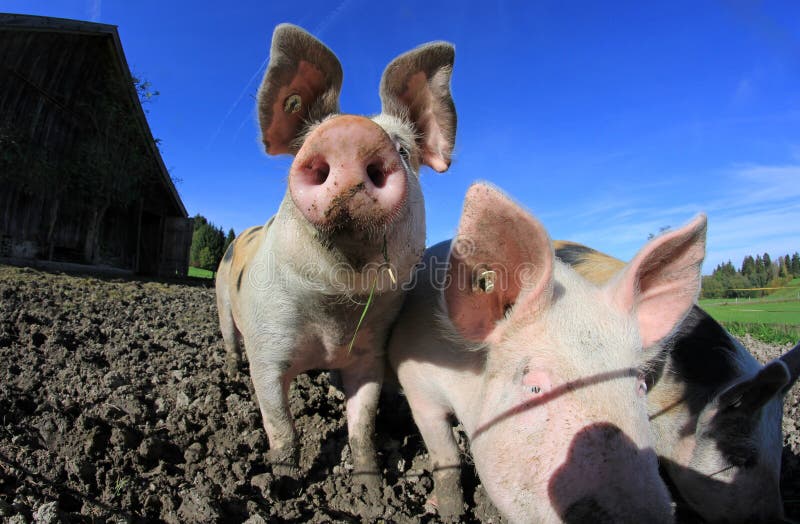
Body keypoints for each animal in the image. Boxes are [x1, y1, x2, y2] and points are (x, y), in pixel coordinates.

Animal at [215, 23, 456, 495]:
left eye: (404, 150)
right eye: (305, 143)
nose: (350, 133)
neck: (334, 313)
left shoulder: (370, 355)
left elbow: (361, 426)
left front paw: (371, 491)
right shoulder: (266, 351)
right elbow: (281, 427)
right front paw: (282, 485)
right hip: (222, 302)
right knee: (230, 339)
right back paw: (232, 371)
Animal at [388, 182, 708, 523]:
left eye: (640, 386)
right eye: (535, 387)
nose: (638, 516)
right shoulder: (416, 379)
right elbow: (445, 454)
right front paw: (449, 511)